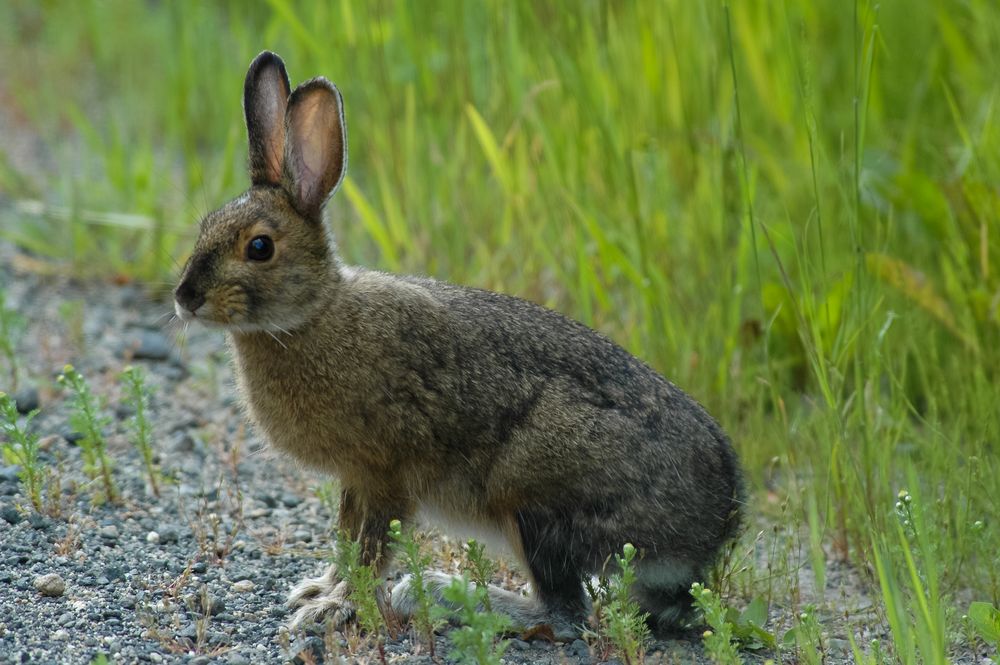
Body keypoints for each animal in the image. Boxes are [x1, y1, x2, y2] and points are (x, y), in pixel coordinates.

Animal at [173, 50, 744, 638]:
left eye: (260, 247)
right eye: (205, 227)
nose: (185, 297)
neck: (312, 314)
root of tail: (715, 530)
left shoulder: (385, 474)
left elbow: (371, 548)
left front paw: (332, 608)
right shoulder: (356, 480)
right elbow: (348, 540)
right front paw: (318, 589)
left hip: (536, 495)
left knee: (561, 613)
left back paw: (442, 594)